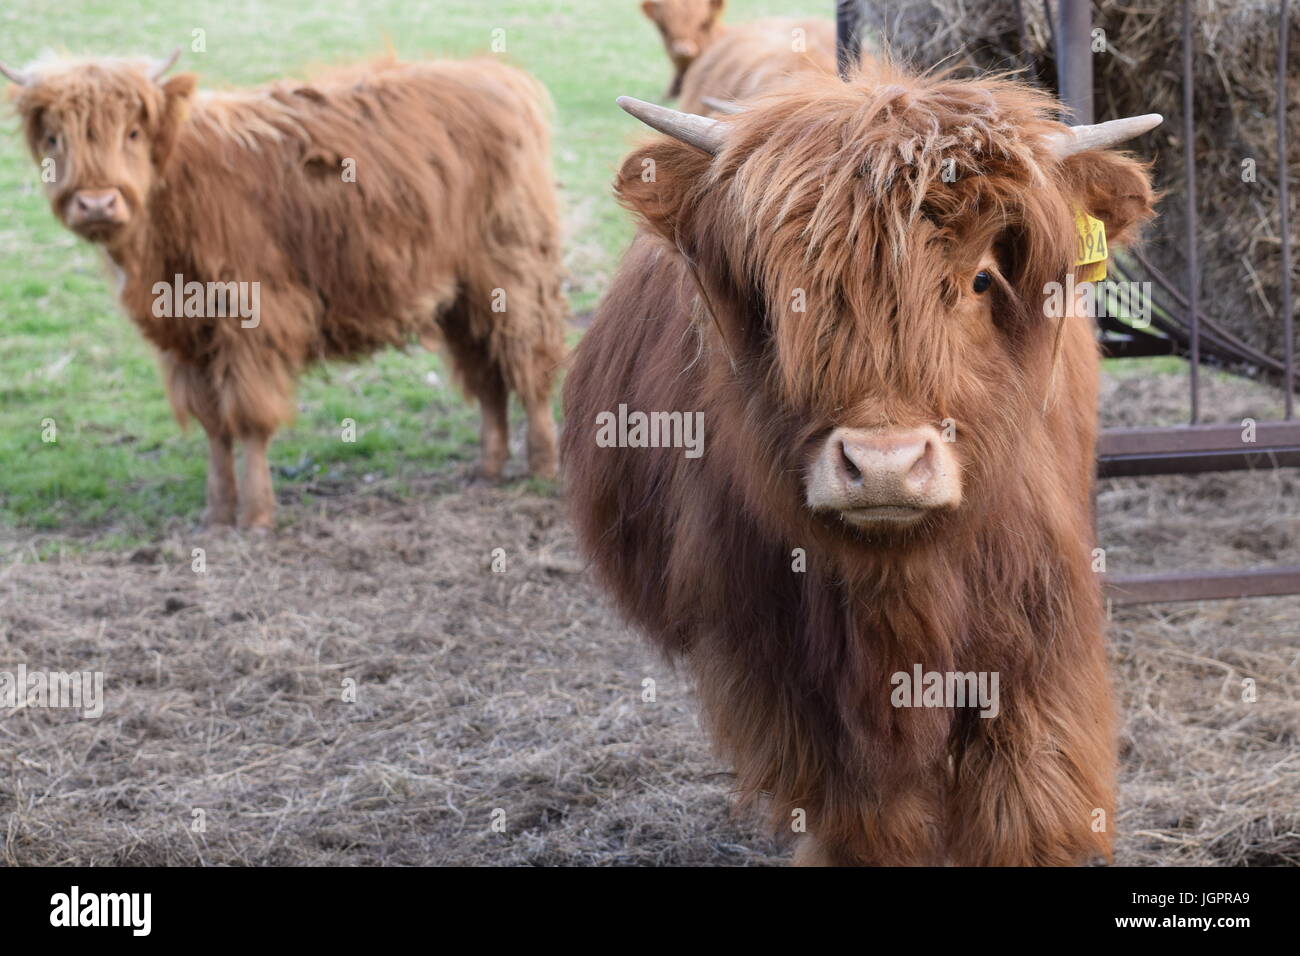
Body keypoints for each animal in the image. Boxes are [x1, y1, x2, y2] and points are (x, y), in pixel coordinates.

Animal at [1, 52, 566, 529]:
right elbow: (214, 427)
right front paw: (217, 510)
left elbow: (249, 418)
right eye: (54, 139)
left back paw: (542, 463)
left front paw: (255, 514)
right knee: (487, 376)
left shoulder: (255, 318)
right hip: (459, 293)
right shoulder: (185, 337)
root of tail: (493, 73)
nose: (96, 203)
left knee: (526, 361)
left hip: (511, 272)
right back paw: (489, 466)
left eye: (134, 132)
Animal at [562, 64, 1160, 865]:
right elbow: (870, 819)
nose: (884, 466)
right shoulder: (788, 673)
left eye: (980, 280)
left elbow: (1027, 803)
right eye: (788, 289)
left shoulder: (1038, 638)